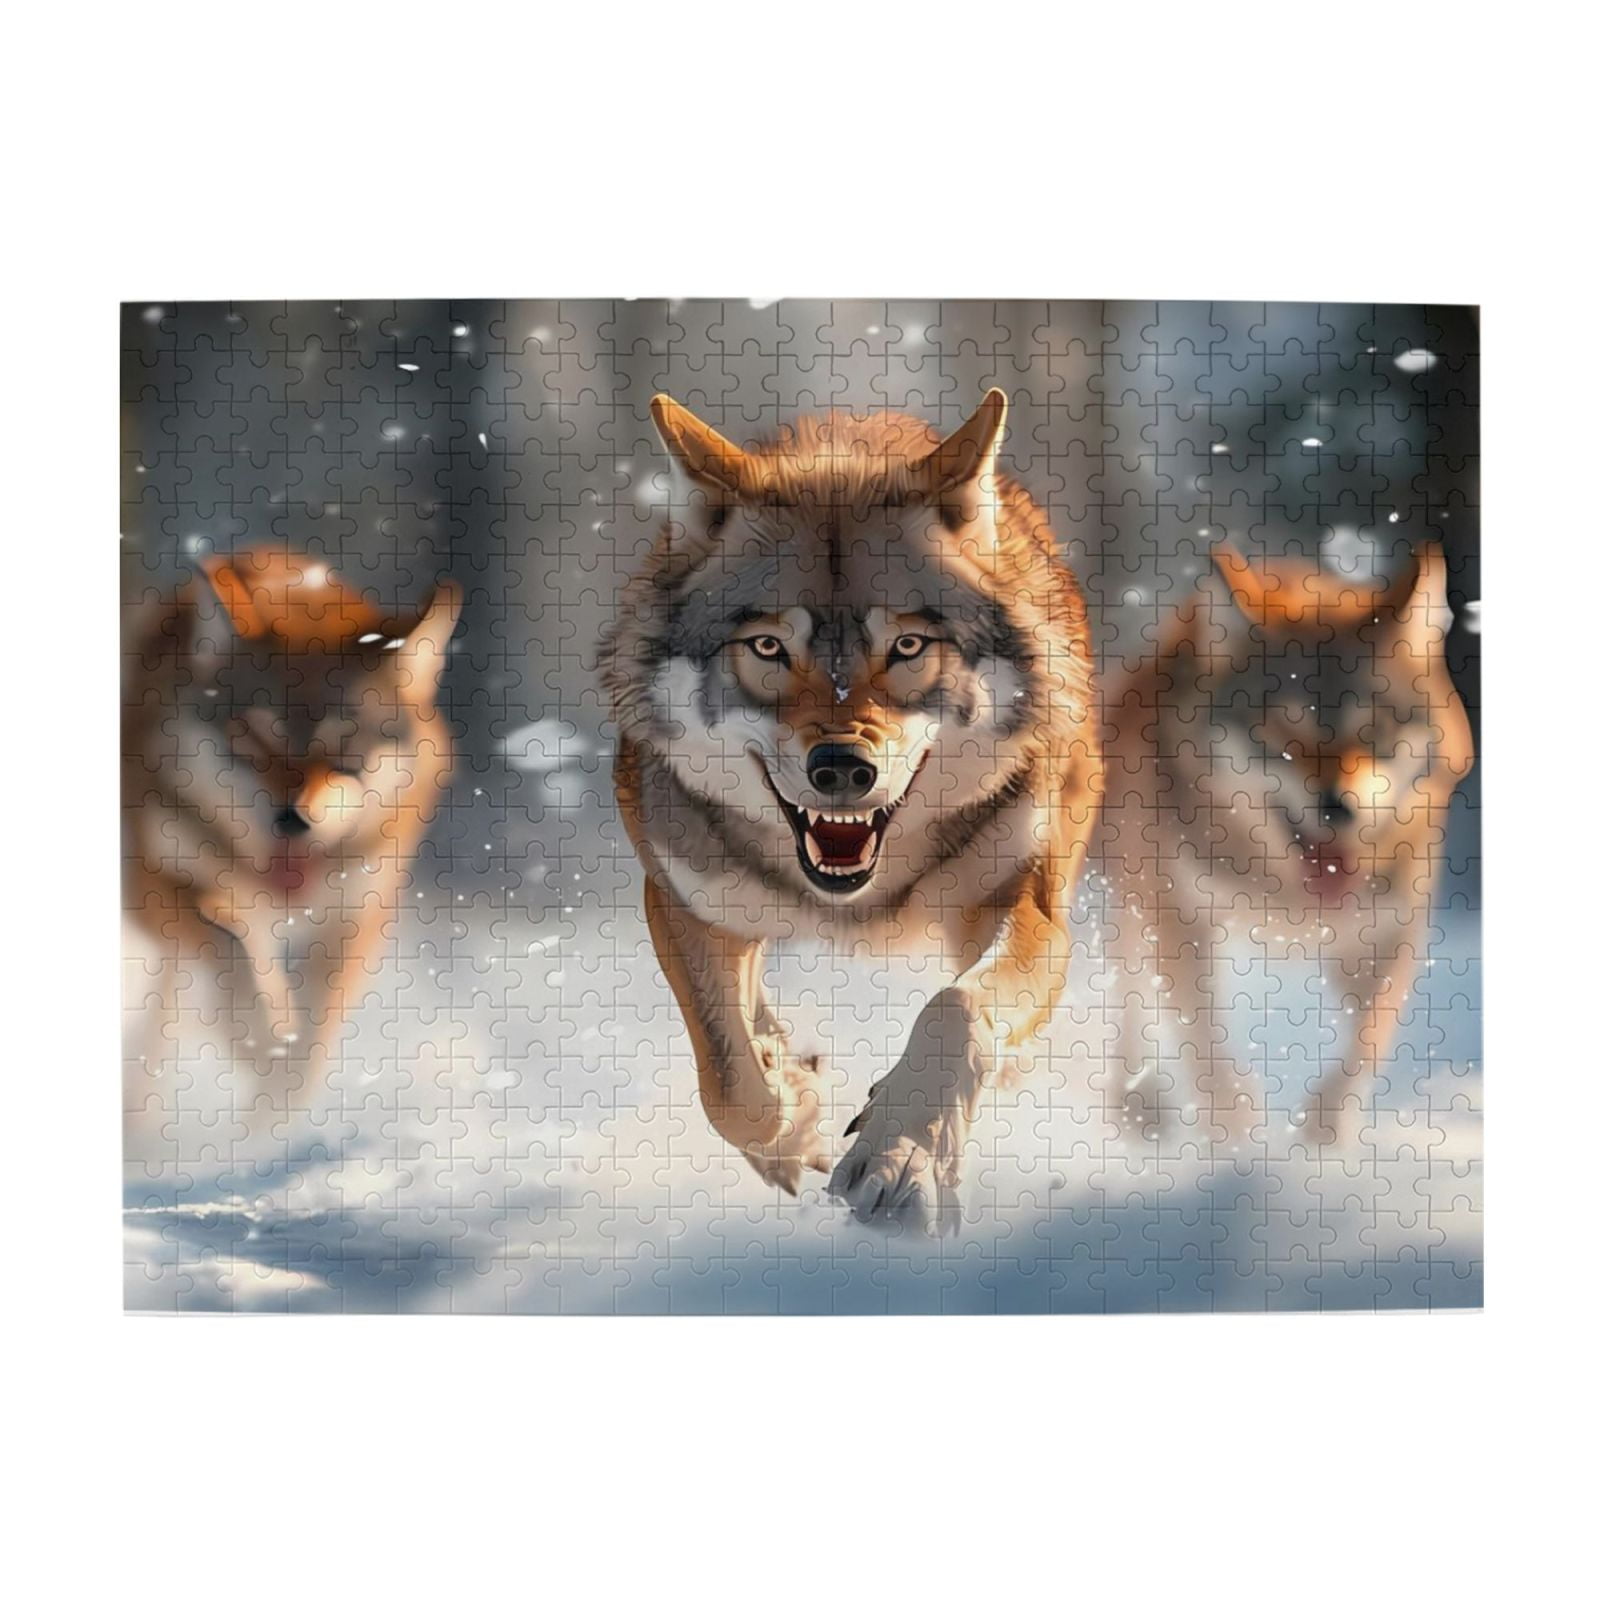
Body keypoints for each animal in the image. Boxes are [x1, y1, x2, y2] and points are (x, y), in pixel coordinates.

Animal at [123, 549, 460, 1059]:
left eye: (346, 756)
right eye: (256, 737)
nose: (292, 821)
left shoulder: (351, 934)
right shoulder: (167, 887)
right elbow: (242, 947)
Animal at [602, 390, 1101, 1232]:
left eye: (906, 647)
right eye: (769, 648)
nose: (842, 768)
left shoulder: (1022, 905)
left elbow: (956, 1009)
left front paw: (904, 1160)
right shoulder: (683, 901)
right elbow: (729, 1082)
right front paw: (795, 1108)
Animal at [1097, 537, 1474, 1147]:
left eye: (1374, 731)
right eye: (1281, 734)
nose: (1337, 808)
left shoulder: (1388, 931)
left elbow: (1364, 1047)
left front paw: (1321, 1142)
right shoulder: (1178, 916)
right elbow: (1205, 1047)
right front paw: (1239, 1142)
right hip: (1131, 899)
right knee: (1131, 1000)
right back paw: (1139, 1109)